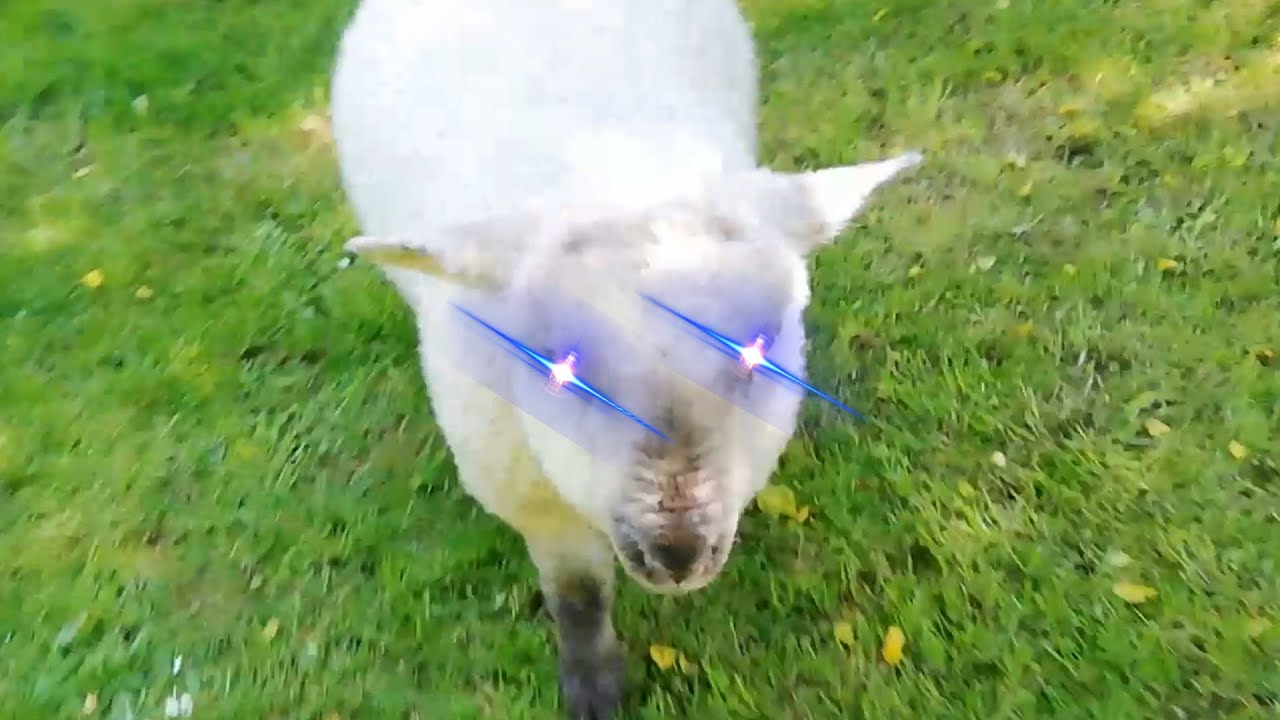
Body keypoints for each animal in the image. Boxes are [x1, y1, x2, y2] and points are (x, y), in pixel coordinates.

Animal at [330, 0, 920, 716]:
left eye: (759, 354)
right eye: (560, 365)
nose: (678, 554)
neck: (613, 167)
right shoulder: (530, 492)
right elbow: (578, 592)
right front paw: (593, 684)